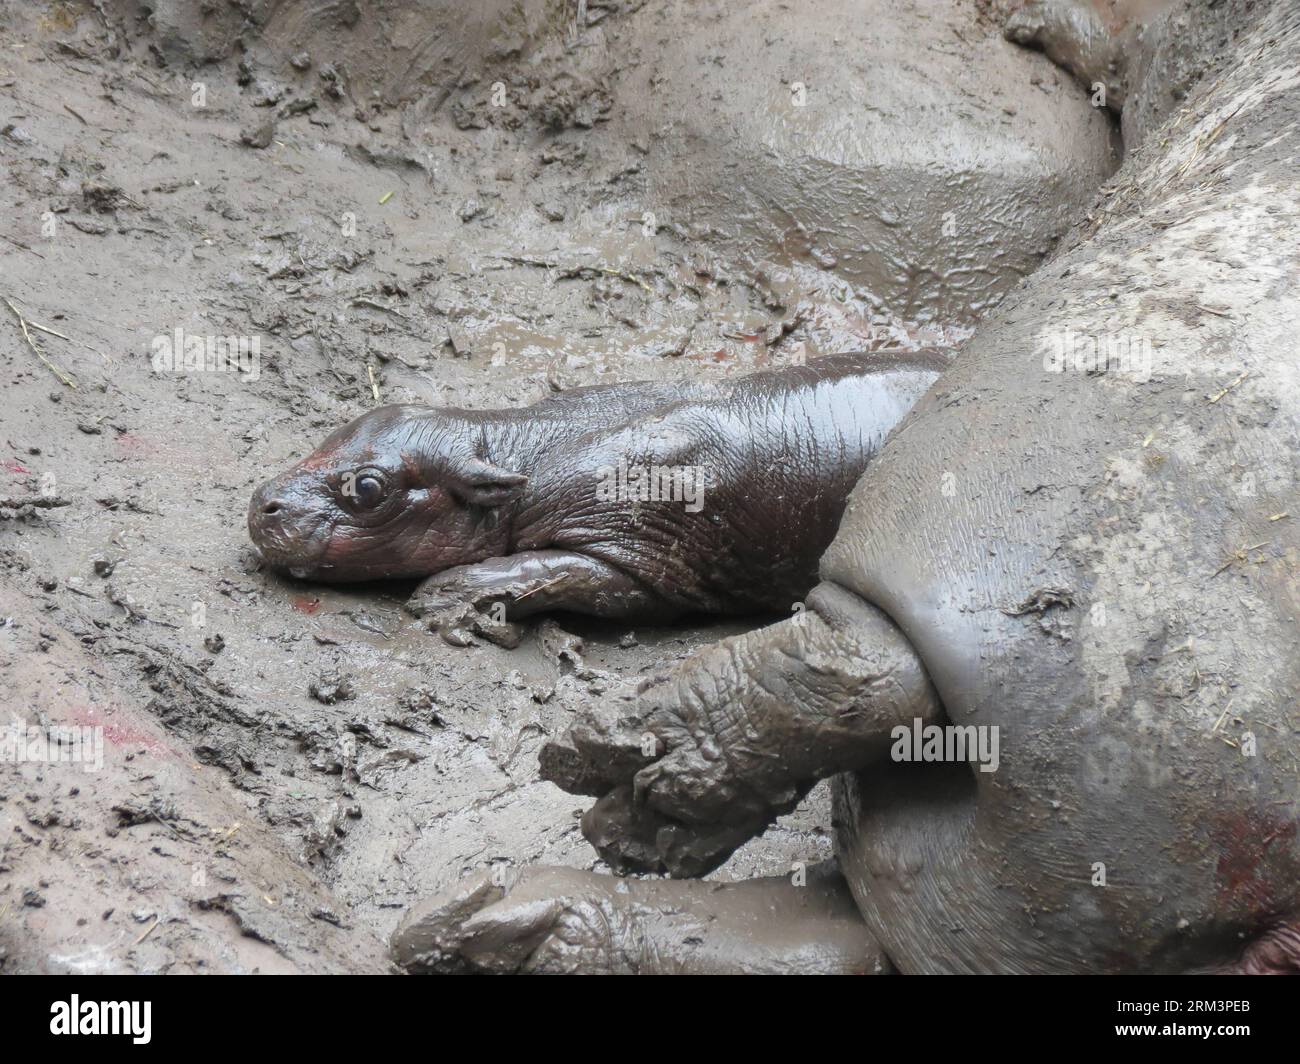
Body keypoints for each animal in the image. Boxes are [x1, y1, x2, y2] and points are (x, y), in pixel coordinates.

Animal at [249, 352, 947, 642]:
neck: (518, 447)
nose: (264, 503)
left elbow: (554, 568)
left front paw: (439, 604)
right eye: (338, 431)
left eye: (369, 488)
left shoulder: (635, 553)